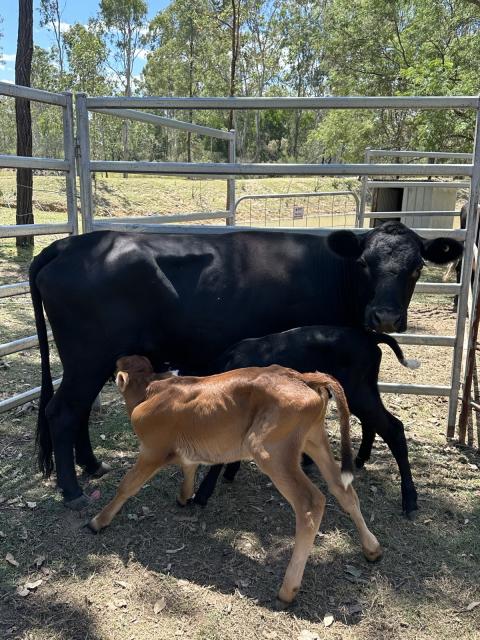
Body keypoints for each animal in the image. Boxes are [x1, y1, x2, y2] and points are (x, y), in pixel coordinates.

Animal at [88, 356, 382, 606]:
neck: (152, 388)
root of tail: (300, 376)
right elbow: (189, 467)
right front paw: (185, 496)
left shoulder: (152, 450)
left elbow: (127, 485)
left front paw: (99, 521)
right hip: (314, 439)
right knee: (343, 490)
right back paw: (372, 548)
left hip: (269, 449)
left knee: (310, 504)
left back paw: (288, 589)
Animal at [192, 326, 420, 517]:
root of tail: (369, 336)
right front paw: (230, 471)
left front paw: (203, 493)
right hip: (365, 392)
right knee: (376, 424)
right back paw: (361, 459)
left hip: (359, 393)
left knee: (394, 429)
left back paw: (410, 500)